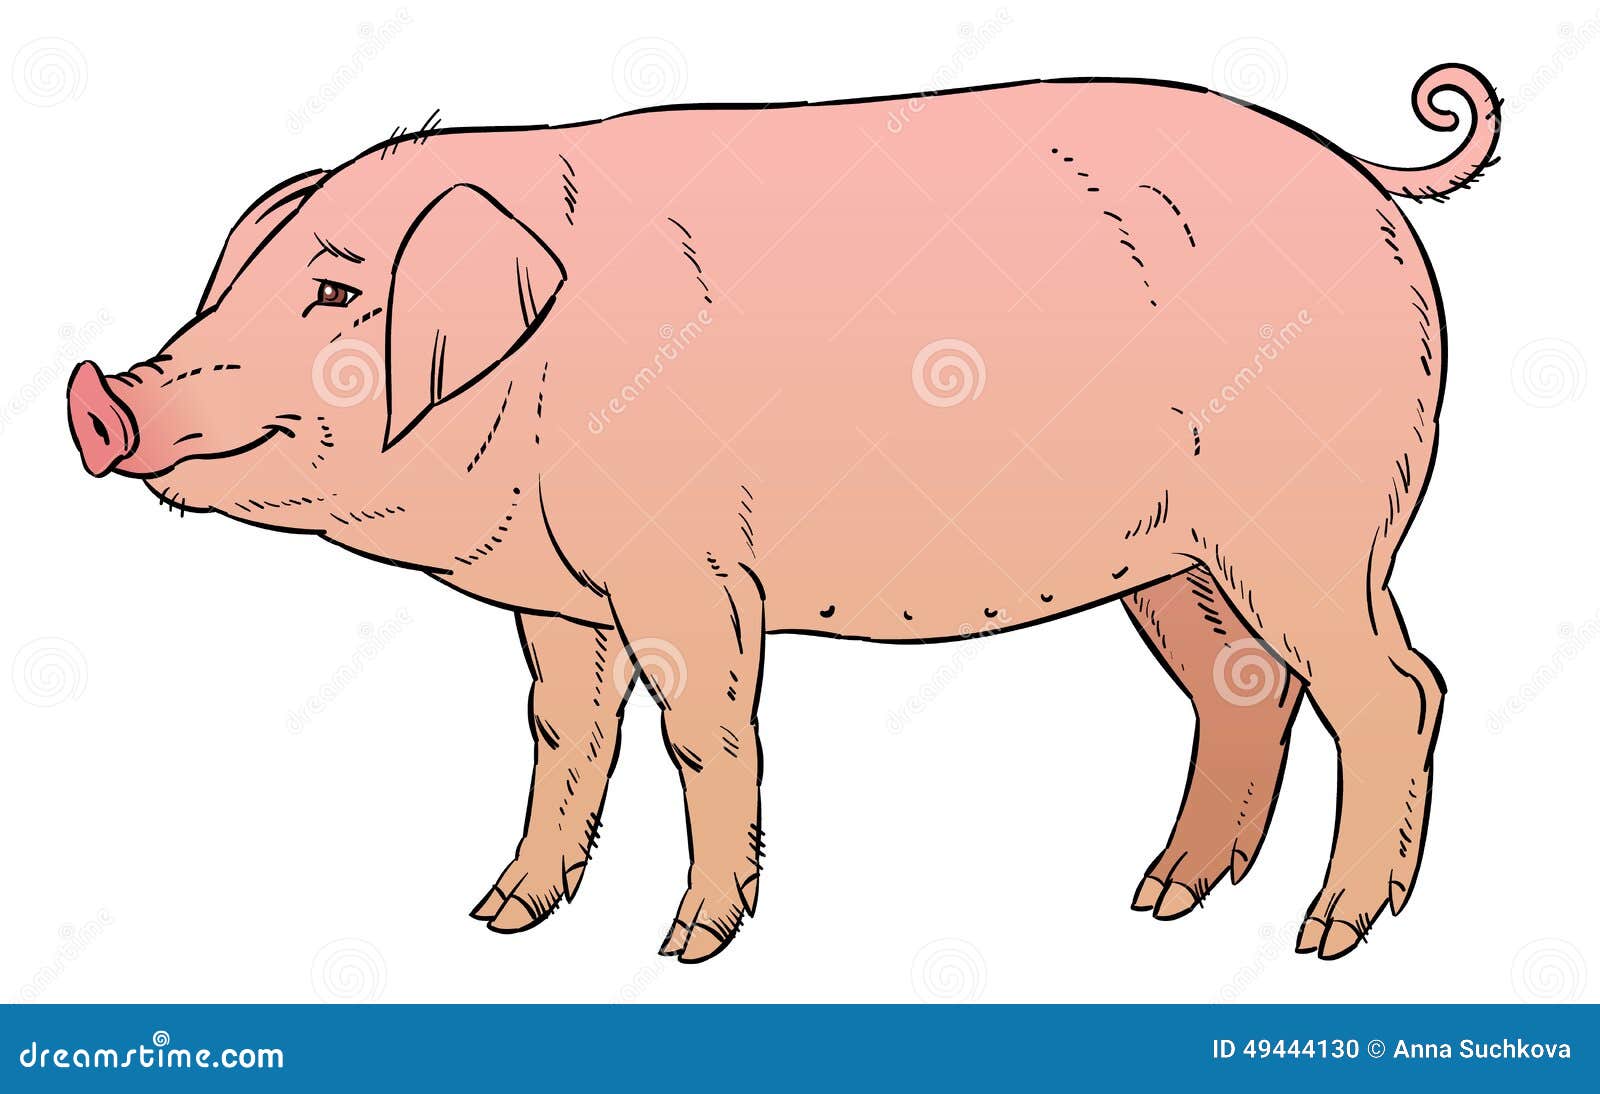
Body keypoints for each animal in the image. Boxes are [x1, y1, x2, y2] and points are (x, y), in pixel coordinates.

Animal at [67, 65, 1500, 963]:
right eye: (231, 282)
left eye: (331, 291)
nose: (101, 393)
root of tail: (1368, 175)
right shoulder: (563, 597)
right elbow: (563, 733)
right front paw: (500, 917)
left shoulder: (687, 569)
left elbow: (704, 734)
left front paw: (688, 945)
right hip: (1175, 557)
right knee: (1242, 687)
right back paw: (1160, 900)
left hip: (1311, 526)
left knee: (1397, 684)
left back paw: (1328, 934)